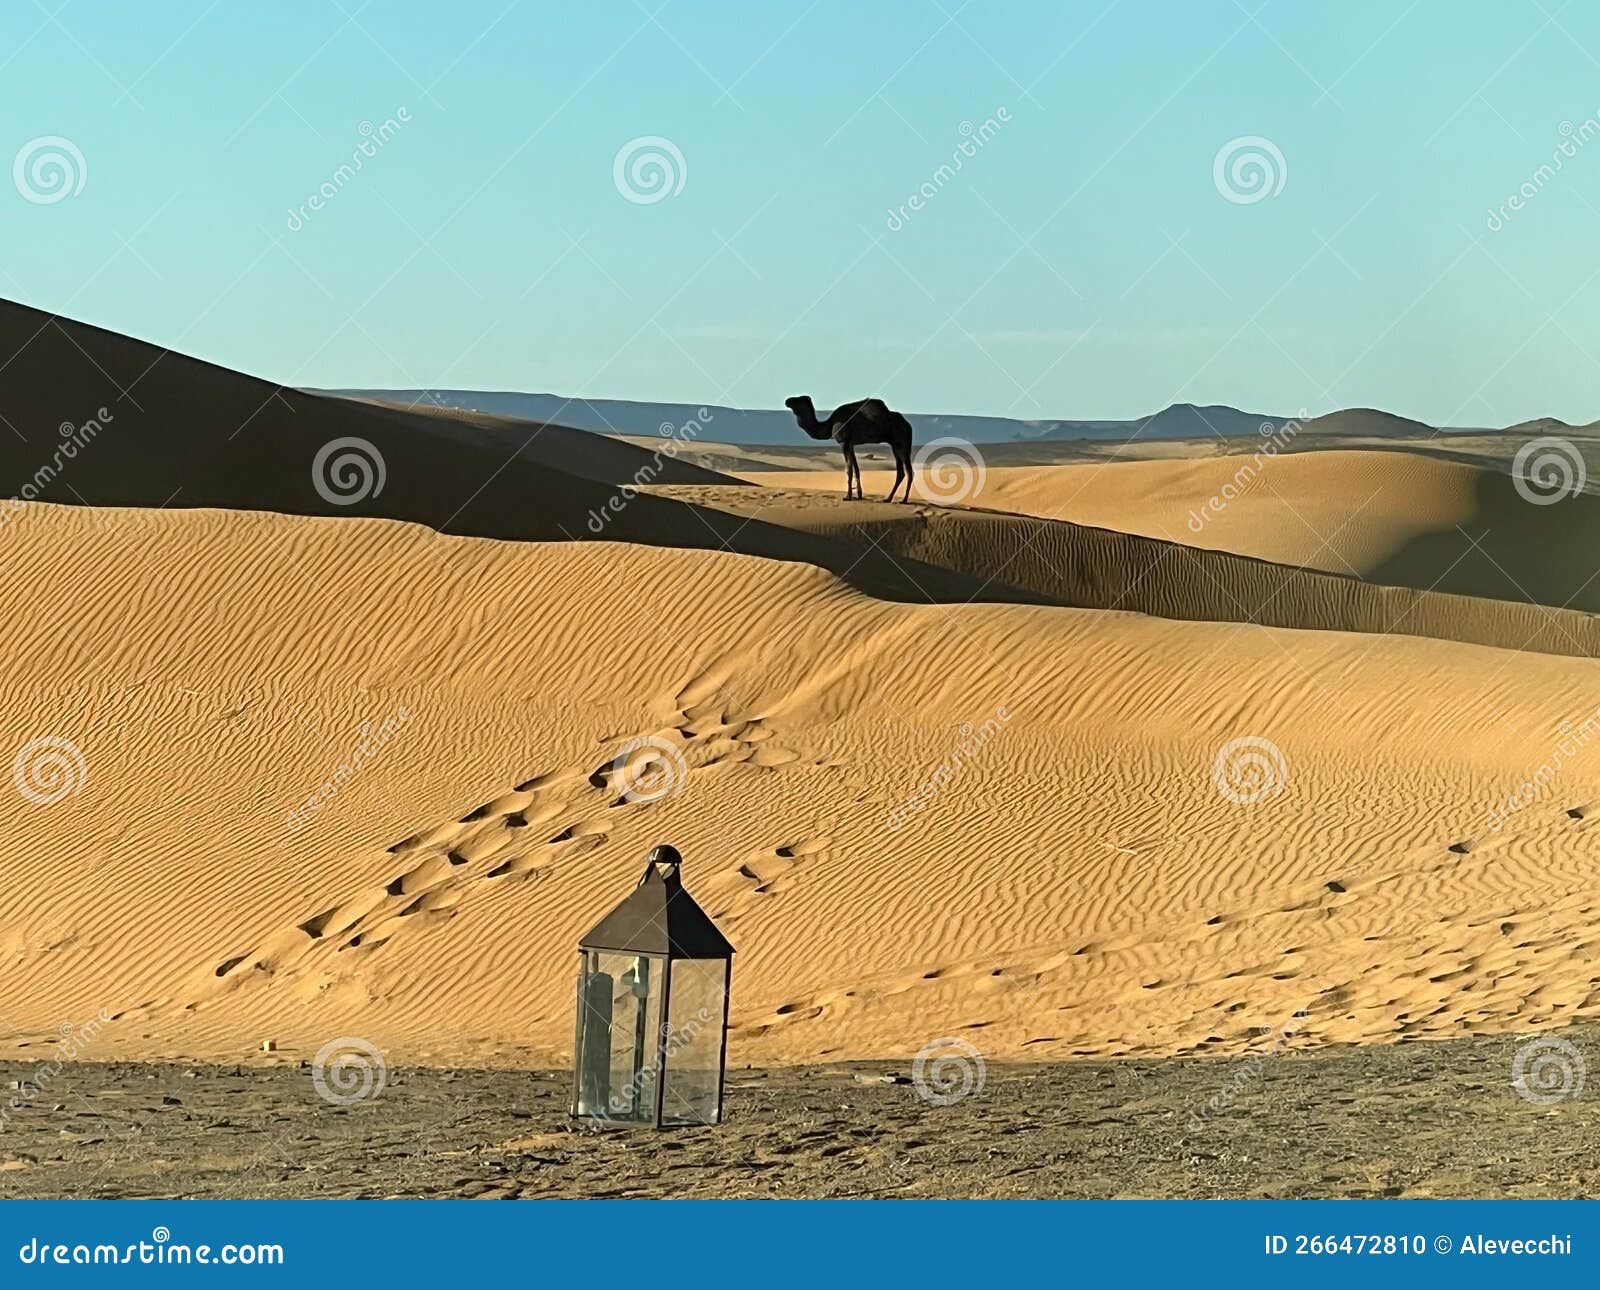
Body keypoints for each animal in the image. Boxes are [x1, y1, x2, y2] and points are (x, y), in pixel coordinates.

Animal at [784, 395, 915, 502]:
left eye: (799, 400)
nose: (787, 401)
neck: (830, 424)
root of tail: (908, 424)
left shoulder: (844, 442)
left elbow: (849, 470)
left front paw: (848, 496)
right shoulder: (851, 444)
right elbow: (856, 469)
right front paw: (859, 495)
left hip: (900, 442)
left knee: (907, 470)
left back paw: (901, 499)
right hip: (896, 444)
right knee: (903, 471)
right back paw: (890, 498)